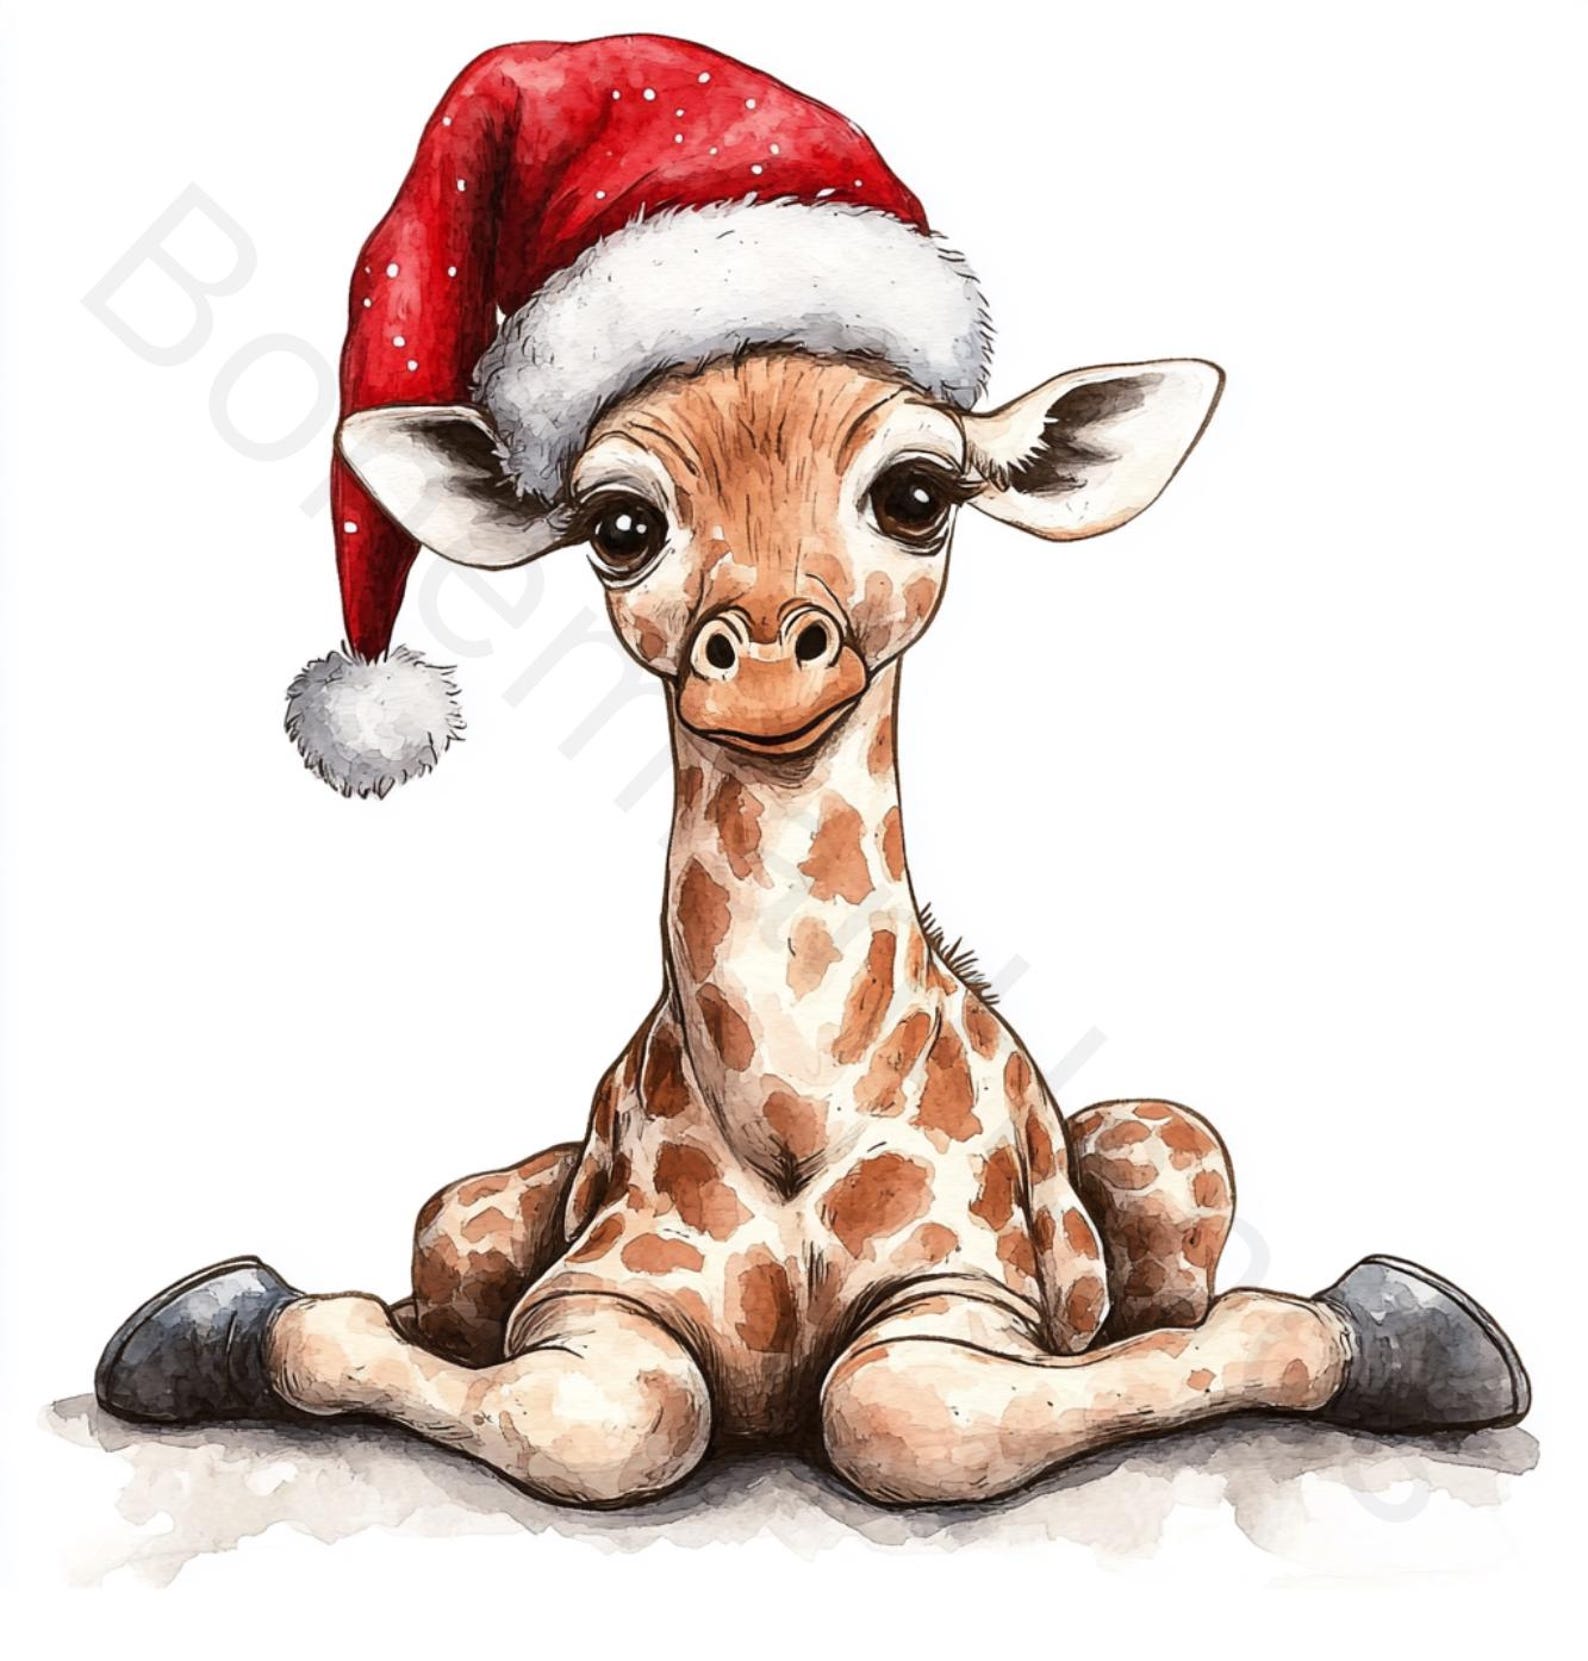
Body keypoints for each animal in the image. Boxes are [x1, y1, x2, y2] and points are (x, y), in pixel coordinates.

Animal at [97, 347, 1528, 1507]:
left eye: (916, 494)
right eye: (620, 524)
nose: (771, 650)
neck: (791, 1107)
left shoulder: (961, 1299)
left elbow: (899, 1410)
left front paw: (1412, 1329)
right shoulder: (598, 1295)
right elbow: (598, 1413)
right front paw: (214, 1323)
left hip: (1177, 1150)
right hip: (460, 1218)